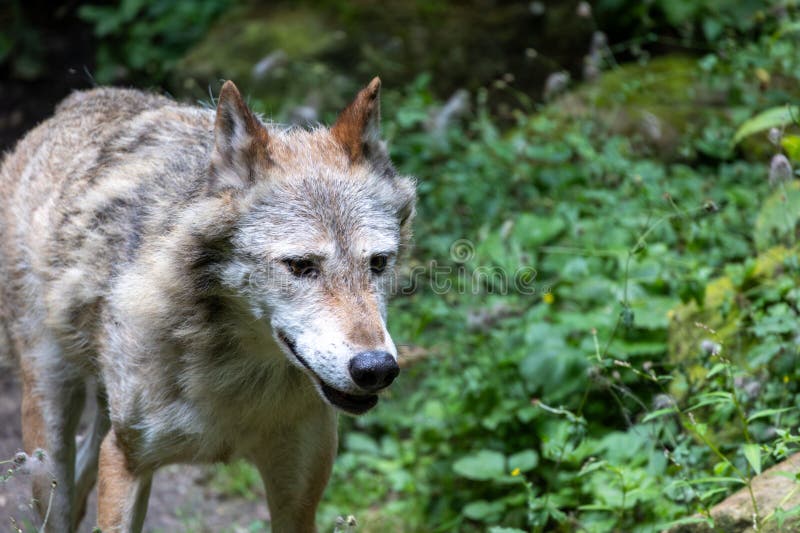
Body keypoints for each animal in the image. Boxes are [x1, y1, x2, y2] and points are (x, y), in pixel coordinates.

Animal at [0, 77, 415, 532]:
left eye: (378, 263)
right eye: (300, 266)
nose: (376, 368)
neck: (239, 379)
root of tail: (80, 100)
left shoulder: (299, 495)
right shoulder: (126, 462)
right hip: (49, 438)